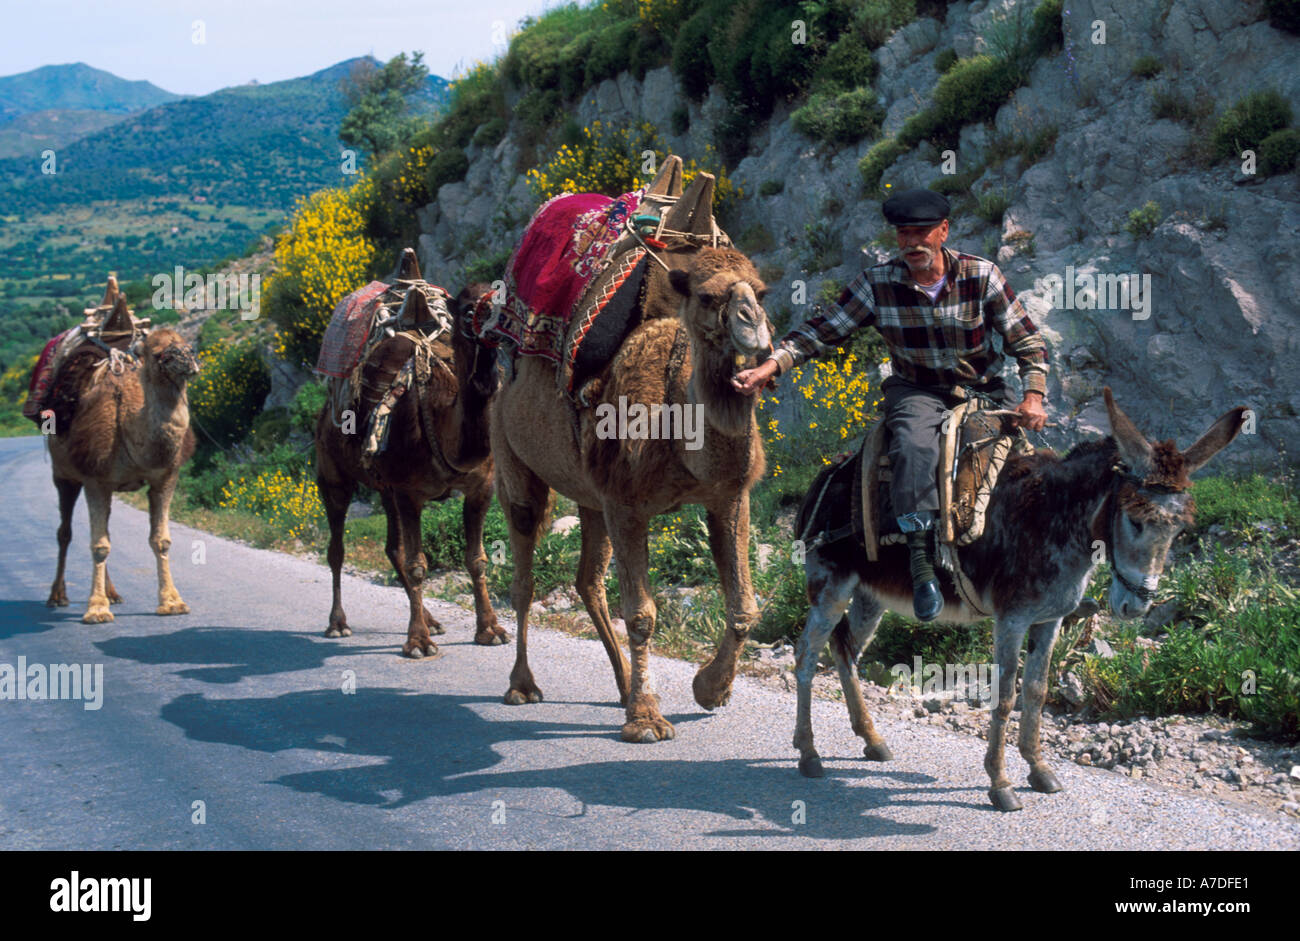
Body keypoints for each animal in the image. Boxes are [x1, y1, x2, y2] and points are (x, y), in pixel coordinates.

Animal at [45, 281, 200, 623]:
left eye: (186, 345)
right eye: (158, 352)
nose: (189, 361)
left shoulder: (166, 476)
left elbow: (161, 540)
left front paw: (172, 602)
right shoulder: (95, 479)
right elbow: (99, 544)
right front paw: (96, 609)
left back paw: (113, 593)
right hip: (63, 474)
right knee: (65, 531)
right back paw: (58, 596)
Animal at [314, 249, 505, 658]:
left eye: (503, 297)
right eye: (468, 308)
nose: (497, 329)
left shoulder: (481, 487)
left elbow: (477, 559)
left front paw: (491, 629)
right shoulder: (409, 492)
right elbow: (418, 563)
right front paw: (417, 642)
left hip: (385, 489)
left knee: (391, 547)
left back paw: (432, 619)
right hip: (332, 474)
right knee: (337, 547)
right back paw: (338, 624)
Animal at [490, 160, 773, 742]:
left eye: (760, 291)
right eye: (707, 296)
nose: (754, 329)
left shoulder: (728, 496)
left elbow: (744, 608)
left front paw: (709, 689)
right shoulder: (627, 503)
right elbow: (642, 613)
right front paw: (647, 719)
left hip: (589, 494)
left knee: (586, 579)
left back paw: (621, 686)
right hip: (513, 458)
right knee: (525, 576)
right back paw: (524, 686)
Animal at [791, 387, 1245, 811]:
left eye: (1180, 530)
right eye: (1134, 520)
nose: (1136, 607)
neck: (1049, 518)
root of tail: (826, 475)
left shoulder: (1049, 620)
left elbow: (1037, 691)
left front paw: (1039, 768)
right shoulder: (1011, 620)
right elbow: (1006, 695)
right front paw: (1000, 784)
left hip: (872, 597)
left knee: (845, 650)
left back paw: (871, 739)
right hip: (830, 585)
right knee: (807, 654)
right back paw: (809, 753)